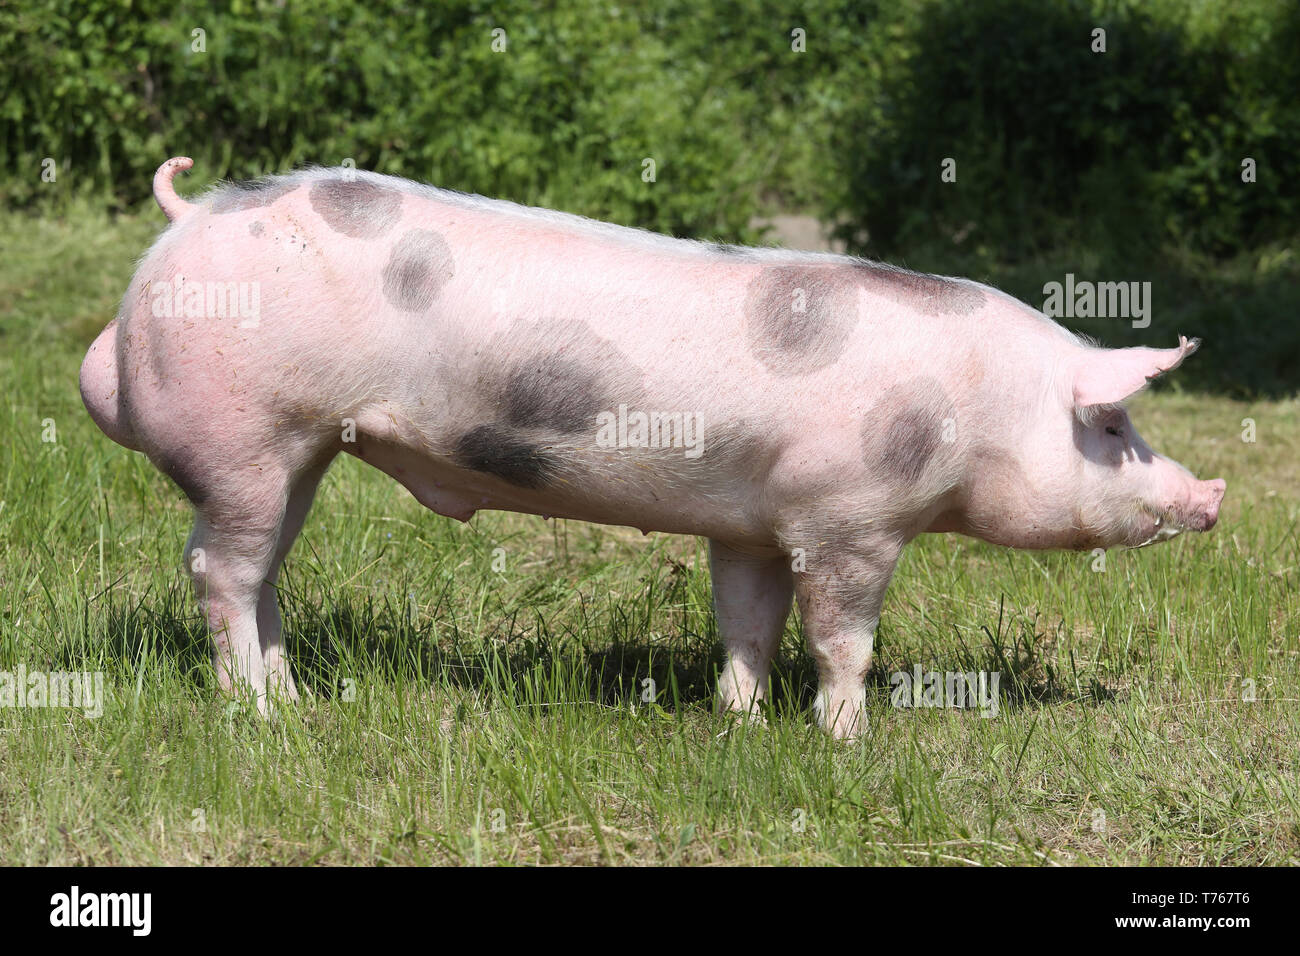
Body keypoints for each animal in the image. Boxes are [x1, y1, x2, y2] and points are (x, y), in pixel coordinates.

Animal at [79, 157, 1226, 737]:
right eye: (1112, 424)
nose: (1211, 495)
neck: (977, 409)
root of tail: (185, 217)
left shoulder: (756, 521)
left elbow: (749, 624)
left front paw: (740, 724)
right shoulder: (850, 519)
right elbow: (843, 638)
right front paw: (846, 743)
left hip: (304, 448)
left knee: (265, 566)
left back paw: (294, 694)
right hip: (244, 434)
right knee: (219, 568)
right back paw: (257, 711)